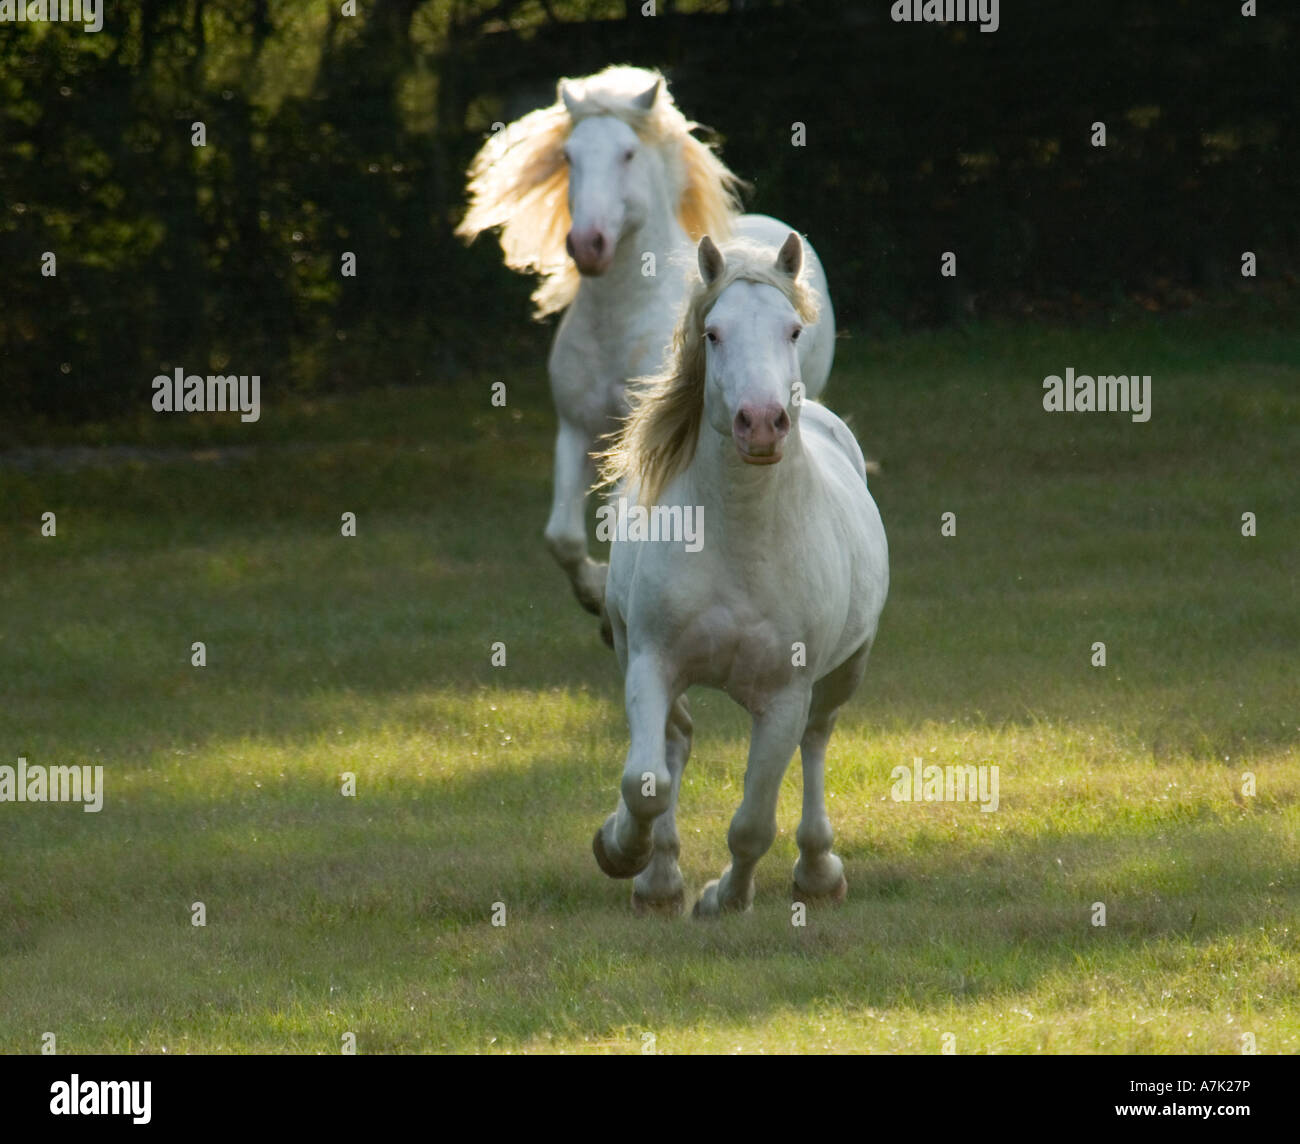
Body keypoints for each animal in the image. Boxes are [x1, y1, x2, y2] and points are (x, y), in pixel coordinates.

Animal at [456, 65, 837, 619]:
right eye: (568, 156)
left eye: (628, 153)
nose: (587, 244)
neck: (617, 320)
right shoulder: (576, 428)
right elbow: (563, 537)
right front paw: (595, 600)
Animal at [593, 233, 888, 917]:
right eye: (713, 333)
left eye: (792, 330)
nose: (760, 421)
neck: (742, 542)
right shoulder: (650, 660)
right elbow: (645, 781)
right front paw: (621, 850)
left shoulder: (783, 698)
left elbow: (753, 823)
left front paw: (724, 898)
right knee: (675, 741)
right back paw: (657, 878)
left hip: (843, 674)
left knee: (817, 741)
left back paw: (817, 870)